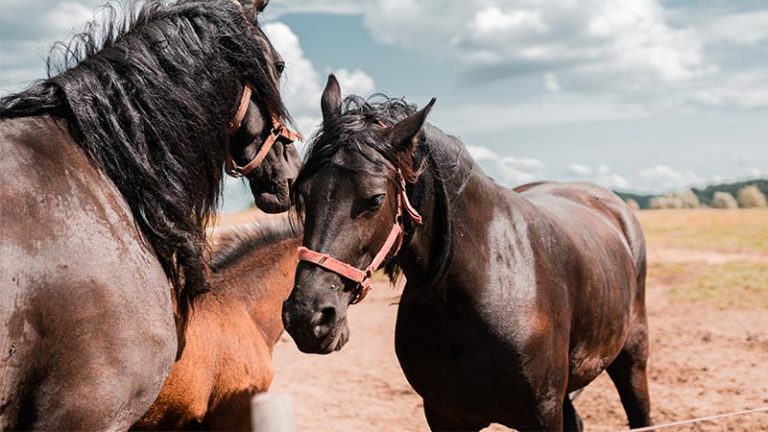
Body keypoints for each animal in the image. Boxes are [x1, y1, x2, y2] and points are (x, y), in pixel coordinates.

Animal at [282, 75, 652, 431]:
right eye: (302, 193)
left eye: (374, 200)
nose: (307, 317)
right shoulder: (443, 415)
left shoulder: (543, 414)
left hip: (632, 358)